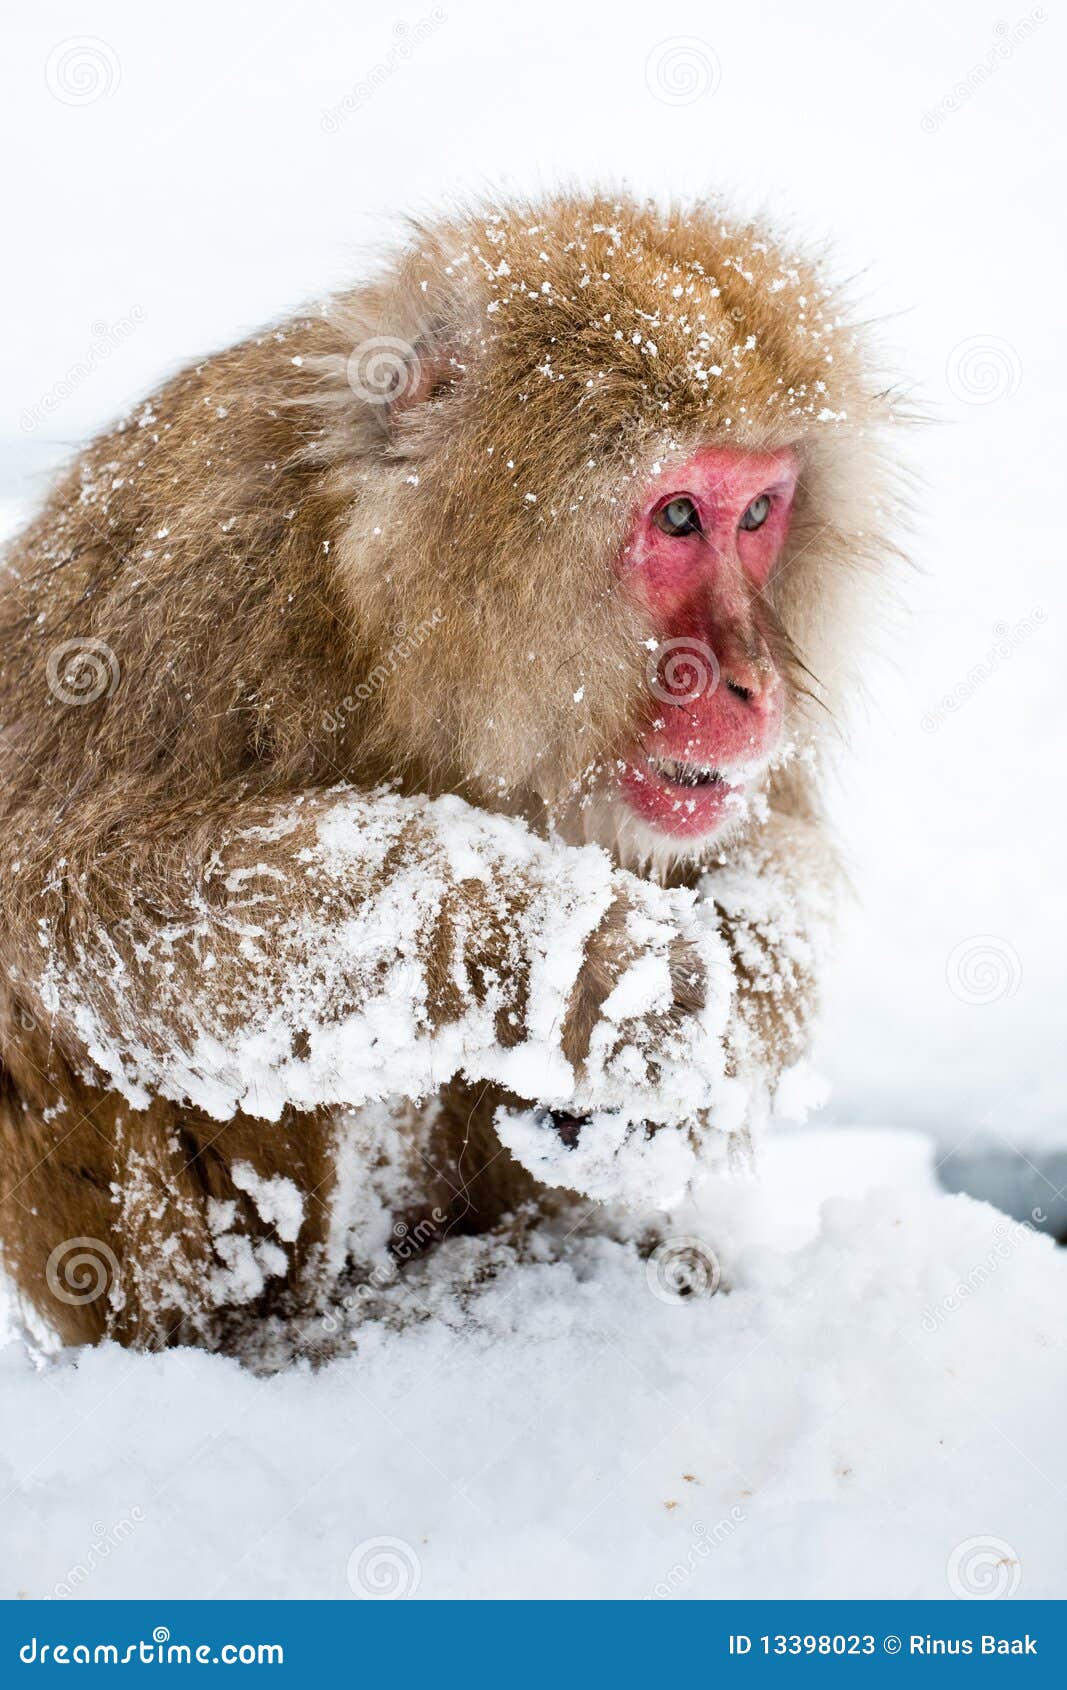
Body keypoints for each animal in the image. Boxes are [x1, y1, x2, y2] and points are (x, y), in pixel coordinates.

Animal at [0, 192, 897, 1357]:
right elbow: (62, 901)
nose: (753, 682)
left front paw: (728, 995)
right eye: (677, 516)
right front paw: (579, 954)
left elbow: (772, 847)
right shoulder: (192, 563)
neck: (412, 633)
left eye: (755, 515)